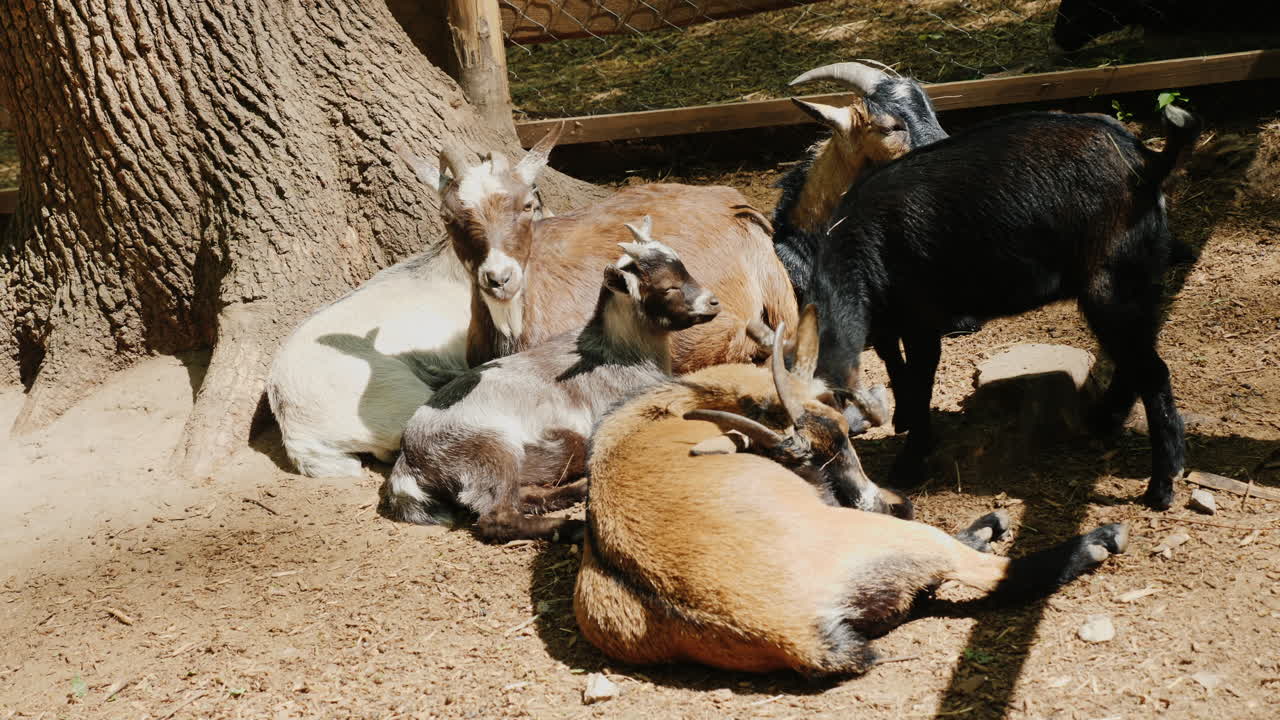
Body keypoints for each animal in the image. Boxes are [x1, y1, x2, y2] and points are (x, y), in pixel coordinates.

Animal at [264, 135, 560, 478]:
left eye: (527, 202)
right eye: (452, 216)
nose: (500, 279)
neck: (451, 270)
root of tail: (296, 430)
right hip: (402, 396)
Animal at [379, 217, 720, 542]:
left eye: (684, 268)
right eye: (668, 287)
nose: (713, 302)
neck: (616, 352)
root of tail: (408, 461)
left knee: (522, 494)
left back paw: (577, 491)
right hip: (488, 451)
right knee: (497, 515)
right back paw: (569, 527)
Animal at [574, 306, 1129, 675]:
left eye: (843, 437)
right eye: (800, 464)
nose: (892, 503)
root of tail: (793, 633)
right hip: (895, 543)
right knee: (985, 572)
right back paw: (1092, 540)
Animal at [805, 103, 1202, 509]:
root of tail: (1147, 161)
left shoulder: (922, 318)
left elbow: (921, 378)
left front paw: (910, 462)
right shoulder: (888, 322)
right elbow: (896, 368)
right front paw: (904, 422)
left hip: (1111, 286)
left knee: (1153, 372)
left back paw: (1161, 486)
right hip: (1139, 281)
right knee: (1135, 358)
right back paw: (1104, 421)